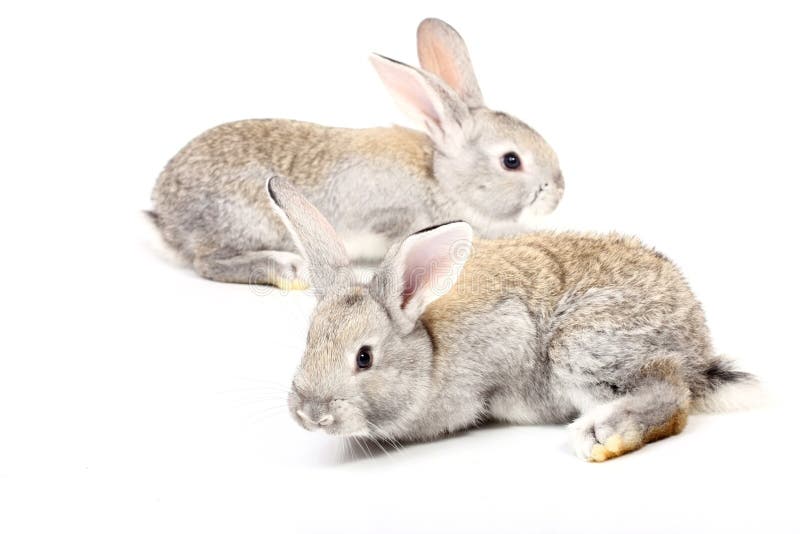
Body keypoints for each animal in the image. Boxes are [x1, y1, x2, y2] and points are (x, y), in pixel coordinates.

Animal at [148, 18, 563, 289]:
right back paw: (288, 270)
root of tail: (164, 216)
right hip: (247, 221)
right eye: (511, 161)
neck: (441, 178)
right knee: (208, 262)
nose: (557, 193)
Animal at [267, 176, 759, 461]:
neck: (430, 351)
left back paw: (603, 434)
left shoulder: (509, 333)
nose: (310, 413)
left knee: (671, 393)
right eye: (308, 341)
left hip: (581, 345)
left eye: (364, 357)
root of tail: (698, 349)